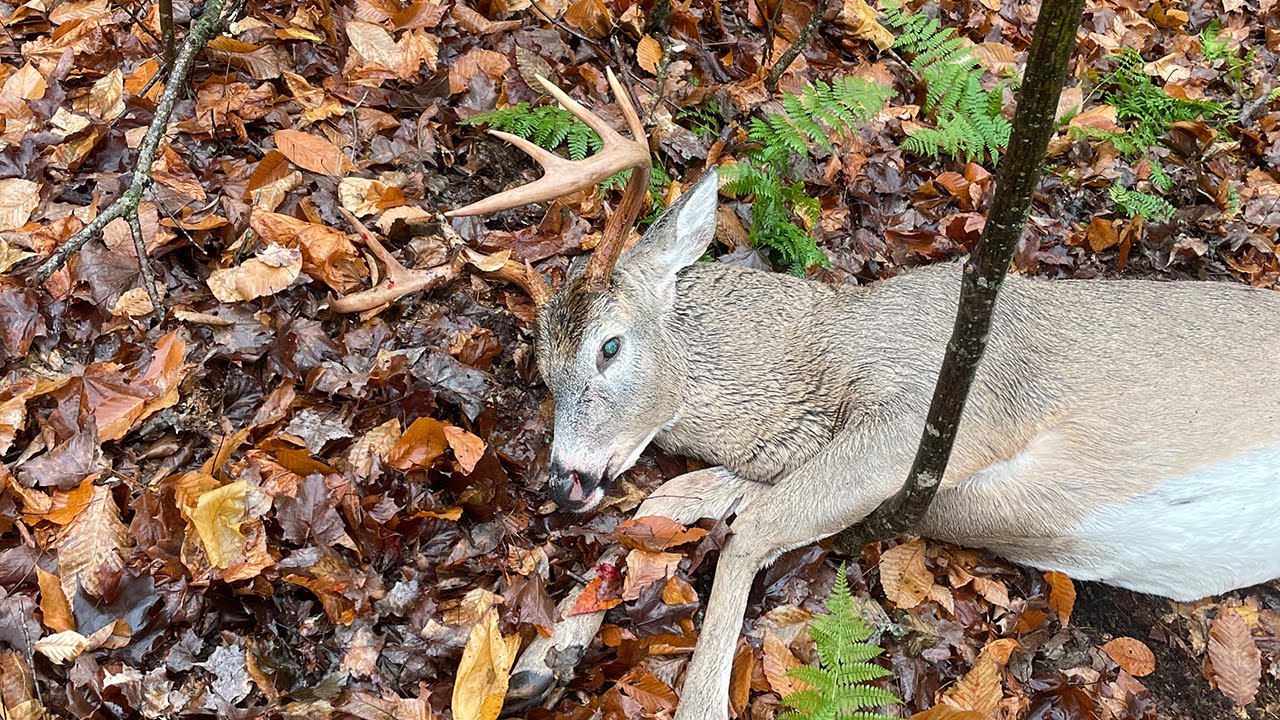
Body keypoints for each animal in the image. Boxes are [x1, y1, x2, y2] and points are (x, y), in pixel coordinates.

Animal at [446, 71, 1280, 720]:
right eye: (542, 370)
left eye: (610, 345)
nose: (565, 478)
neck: (823, 352)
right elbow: (673, 499)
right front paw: (538, 662)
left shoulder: (940, 411)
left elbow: (749, 532)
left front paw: (700, 703)